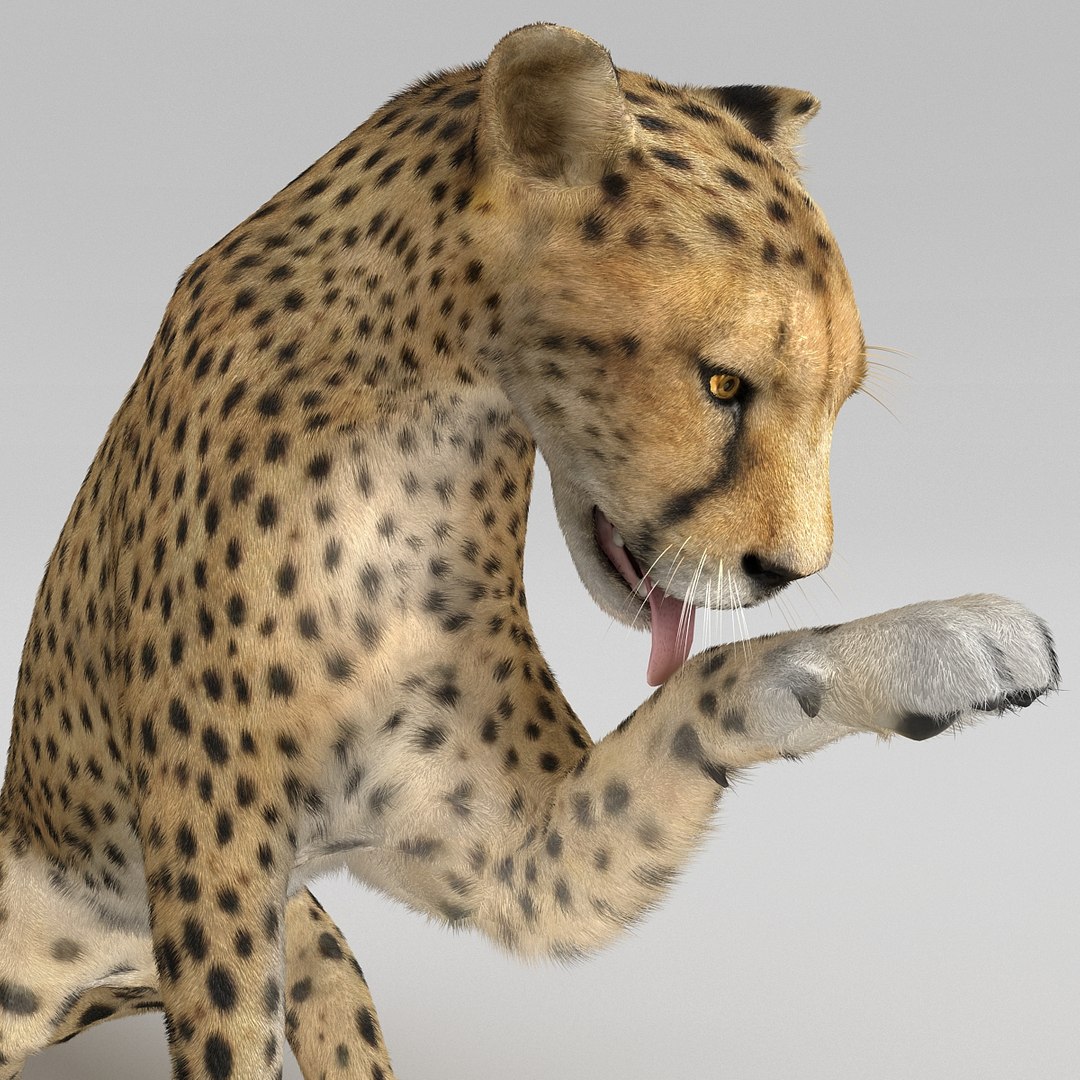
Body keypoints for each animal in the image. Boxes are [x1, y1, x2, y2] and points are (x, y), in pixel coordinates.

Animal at [0, 23, 1058, 1080]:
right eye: (722, 383)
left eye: (838, 402)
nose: (790, 569)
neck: (420, 424)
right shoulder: (213, 849)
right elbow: (233, 1044)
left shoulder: (508, 857)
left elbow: (707, 681)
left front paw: (950, 643)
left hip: (320, 949)